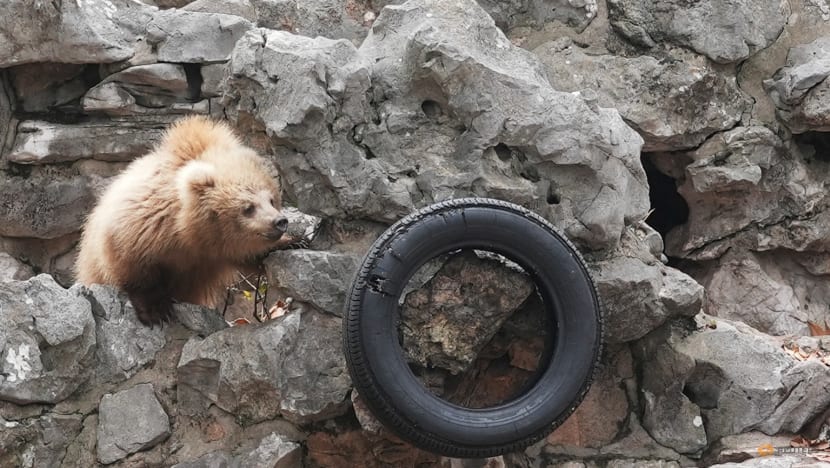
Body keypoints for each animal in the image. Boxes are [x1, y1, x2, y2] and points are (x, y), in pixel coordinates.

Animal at [75, 116, 290, 326]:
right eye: (248, 207)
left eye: (271, 199)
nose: (280, 221)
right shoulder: (141, 229)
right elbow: (133, 267)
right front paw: (157, 311)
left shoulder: (214, 252)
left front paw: (290, 243)